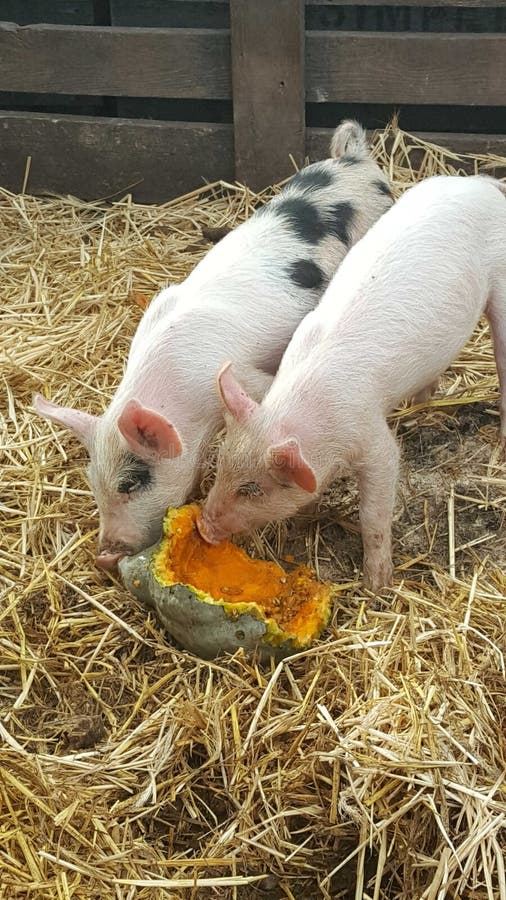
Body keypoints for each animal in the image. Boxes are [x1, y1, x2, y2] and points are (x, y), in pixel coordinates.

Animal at [33, 119, 393, 569]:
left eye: (131, 484)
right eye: (93, 484)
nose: (103, 557)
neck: (188, 400)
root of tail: (355, 159)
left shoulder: (249, 377)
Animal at [199, 174, 506, 593]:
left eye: (253, 489)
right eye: (221, 467)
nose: (203, 526)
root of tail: (478, 181)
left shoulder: (372, 437)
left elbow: (375, 508)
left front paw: (377, 585)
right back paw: (419, 409)